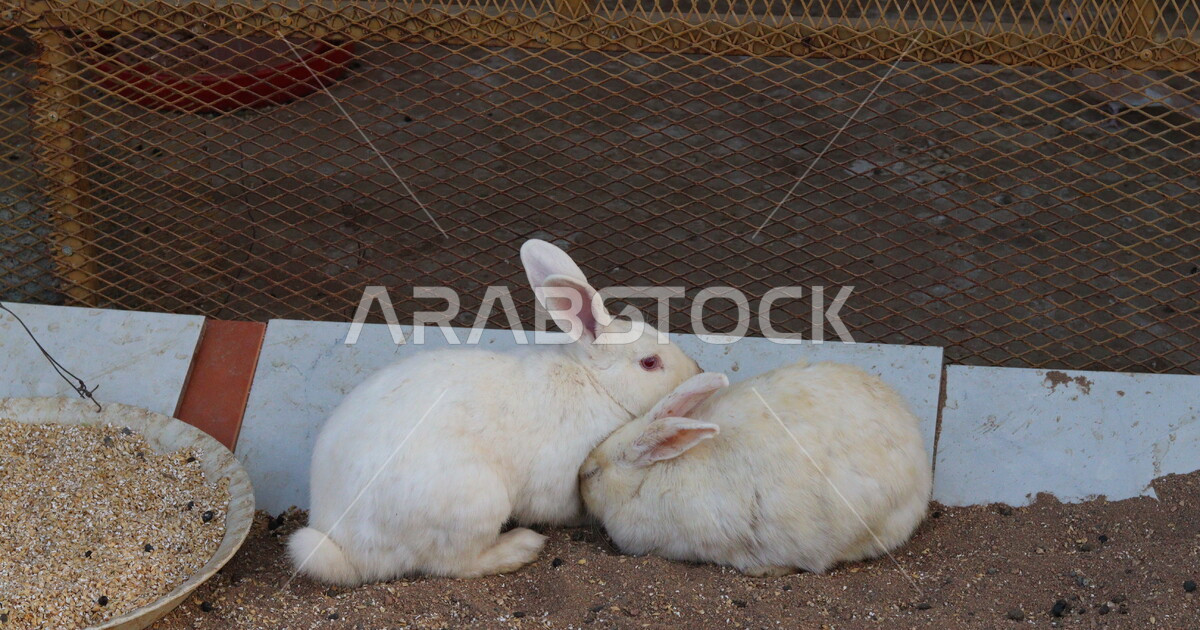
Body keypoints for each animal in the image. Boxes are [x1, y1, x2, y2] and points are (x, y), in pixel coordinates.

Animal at [289, 239, 701, 585]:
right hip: (475, 502)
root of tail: (346, 550)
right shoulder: (558, 479)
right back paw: (521, 547)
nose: (696, 371)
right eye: (649, 363)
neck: (595, 383)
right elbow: (562, 508)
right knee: (453, 564)